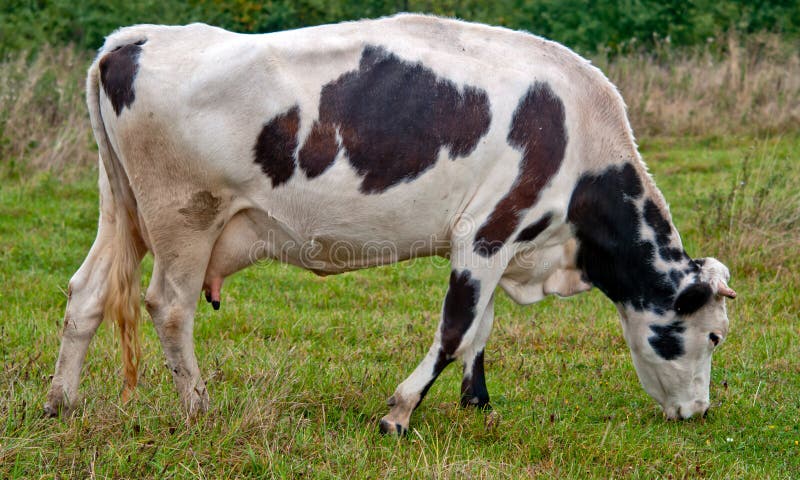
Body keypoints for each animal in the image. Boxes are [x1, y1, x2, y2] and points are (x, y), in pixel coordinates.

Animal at [44, 14, 736, 435]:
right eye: (713, 336)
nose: (700, 411)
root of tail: (137, 37)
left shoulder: (495, 246)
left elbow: (481, 327)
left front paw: (477, 404)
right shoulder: (489, 229)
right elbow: (457, 329)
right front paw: (399, 414)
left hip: (123, 208)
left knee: (86, 293)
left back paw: (61, 403)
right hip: (185, 216)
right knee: (169, 305)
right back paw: (197, 406)